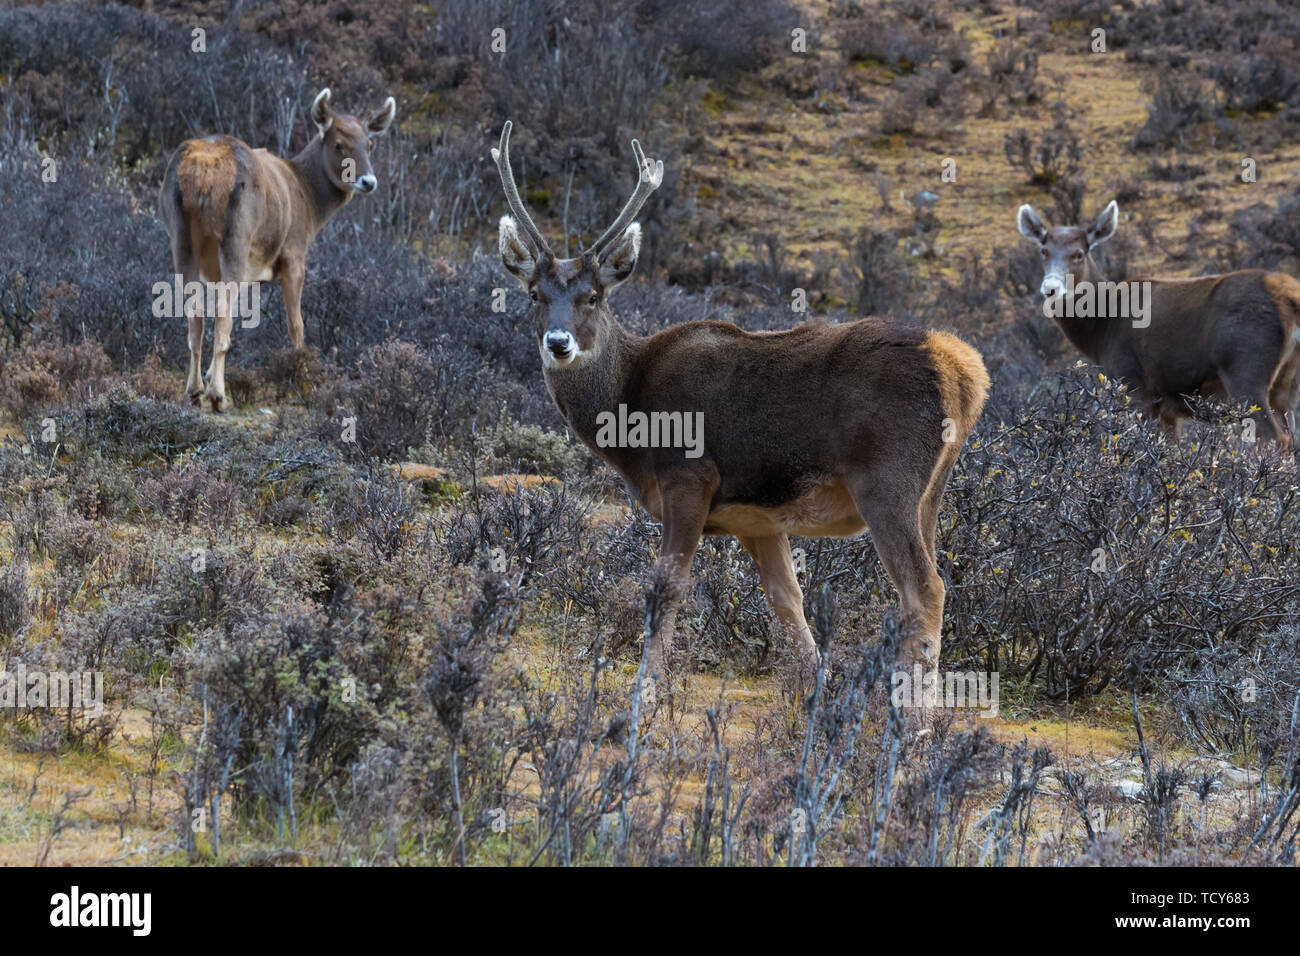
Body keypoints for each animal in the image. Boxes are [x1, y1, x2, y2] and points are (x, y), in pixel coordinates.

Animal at [160, 88, 396, 411]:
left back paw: (195, 390)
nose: (368, 181)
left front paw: (208, 375)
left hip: (180, 232)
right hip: (238, 232)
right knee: (223, 314)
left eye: (369, 144)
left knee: (195, 313)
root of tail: (205, 170)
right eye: (338, 144)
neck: (311, 204)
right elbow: (296, 324)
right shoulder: (295, 252)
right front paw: (304, 380)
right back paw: (218, 395)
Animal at [491, 121, 990, 682]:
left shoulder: (689, 476)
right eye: (533, 293)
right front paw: (815, 688)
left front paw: (646, 688)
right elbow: (788, 603)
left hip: (887, 477)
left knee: (925, 590)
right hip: (931, 492)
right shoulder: (758, 521)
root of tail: (966, 372)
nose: (558, 343)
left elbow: (667, 591)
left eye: (593, 296)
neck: (630, 414)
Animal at [1017, 200, 1300, 446]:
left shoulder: (1133, 382)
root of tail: (1290, 297)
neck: (1101, 332)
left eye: (1078, 253)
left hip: (1244, 368)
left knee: (1276, 438)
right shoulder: (1169, 407)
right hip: (1287, 383)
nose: (1050, 288)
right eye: (1043, 251)